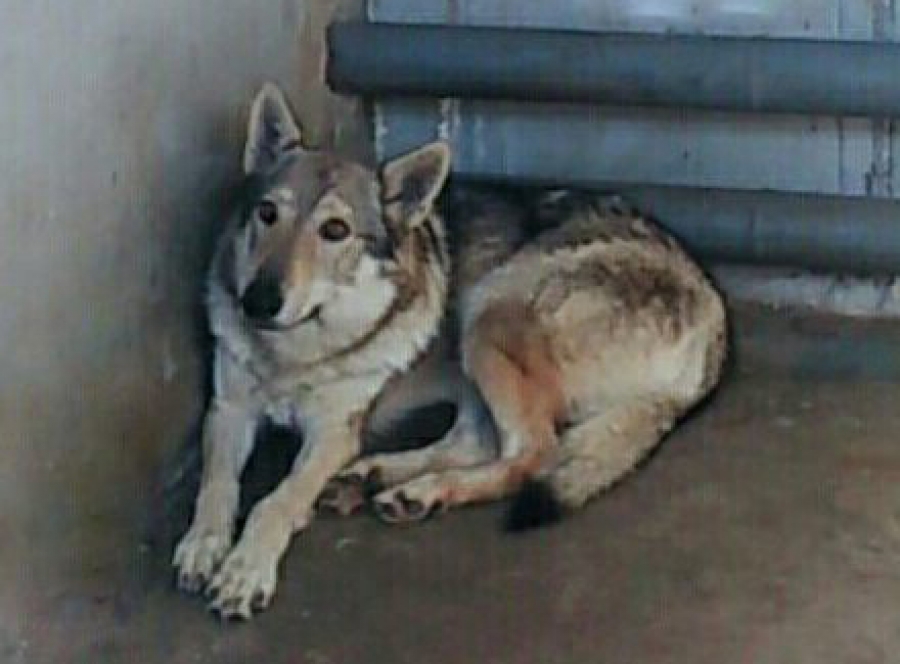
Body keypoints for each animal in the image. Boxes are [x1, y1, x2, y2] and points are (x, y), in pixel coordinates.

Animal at [173, 83, 727, 620]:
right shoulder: (228, 410)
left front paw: (247, 569)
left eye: (335, 230)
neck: (293, 354)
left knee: (532, 453)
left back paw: (416, 490)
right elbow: (216, 484)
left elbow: (277, 499)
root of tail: (713, 313)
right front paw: (204, 543)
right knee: (481, 441)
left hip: (489, 310)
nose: (258, 301)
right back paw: (379, 479)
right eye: (267, 214)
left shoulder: (332, 433)